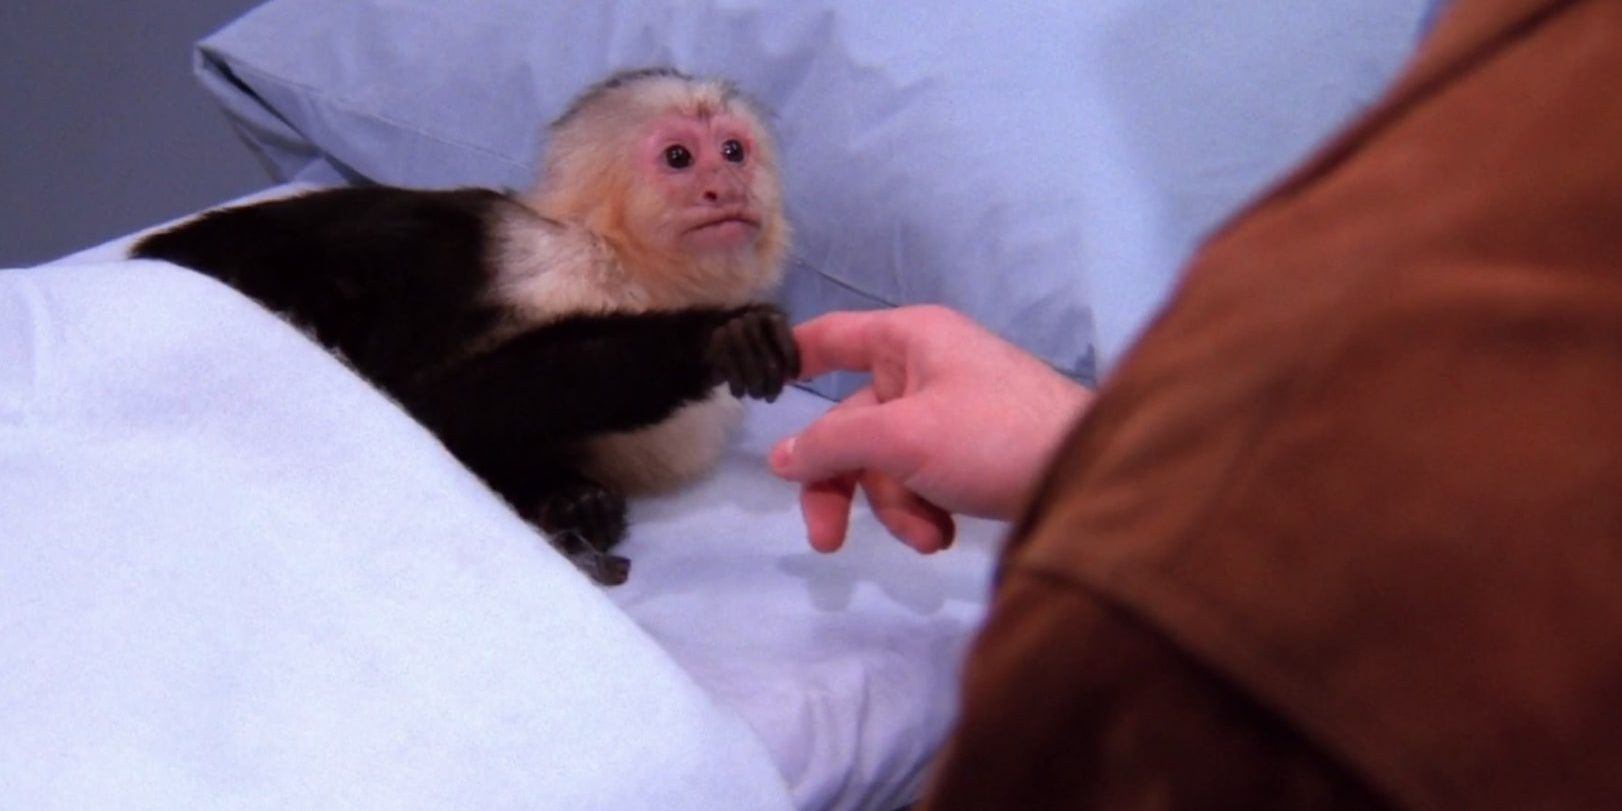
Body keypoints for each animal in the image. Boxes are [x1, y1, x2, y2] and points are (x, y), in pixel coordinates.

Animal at [131, 68, 798, 585]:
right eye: (679, 158)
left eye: (733, 151)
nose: (724, 188)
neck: (627, 267)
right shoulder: (543, 264)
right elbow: (436, 401)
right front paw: (716, 338)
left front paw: (574, 506)